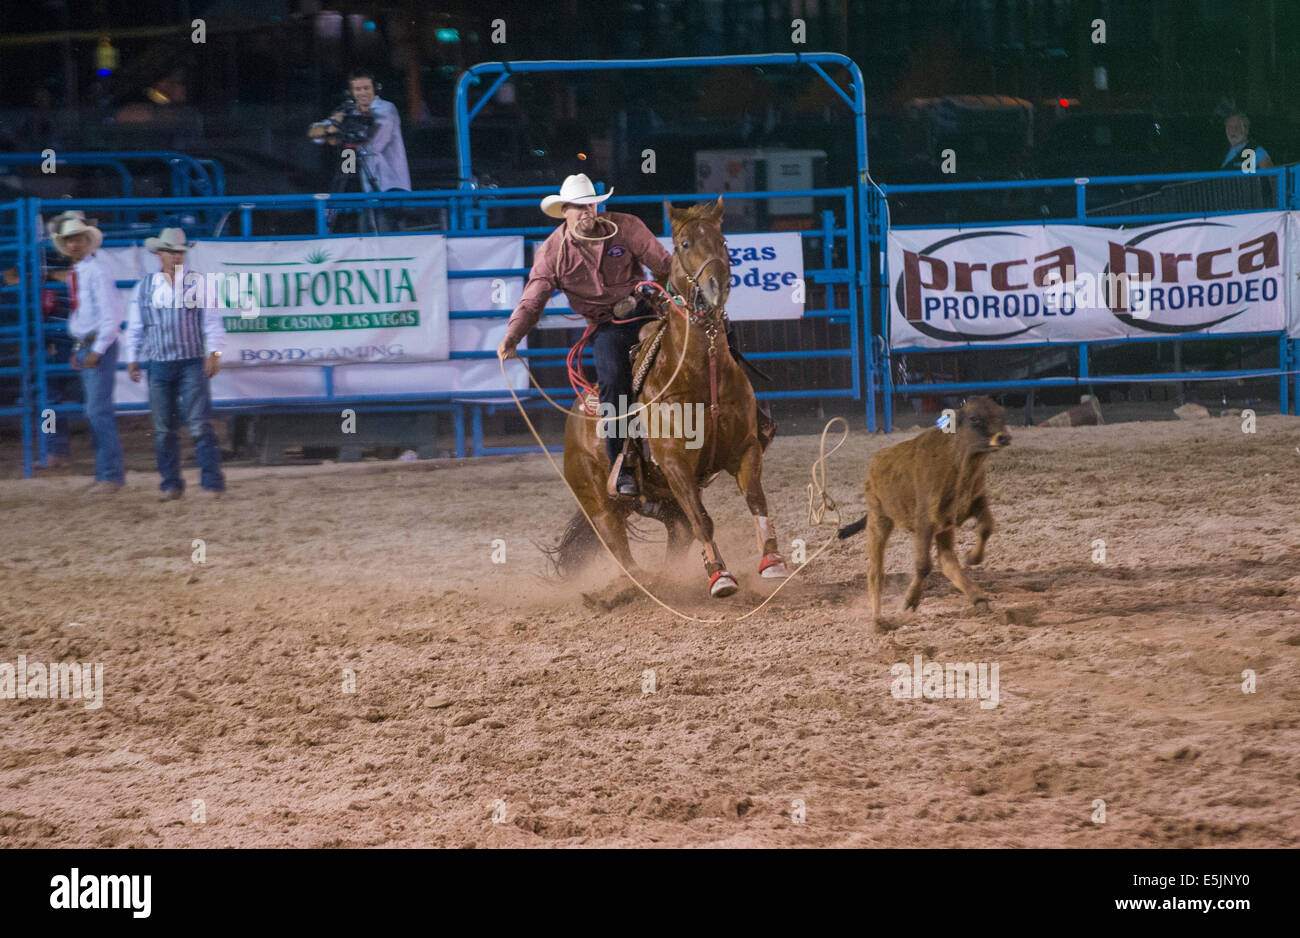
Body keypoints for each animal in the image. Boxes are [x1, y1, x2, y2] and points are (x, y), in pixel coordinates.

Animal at [838, 396, 1011, 629]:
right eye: (974, 418)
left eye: (1002, 415)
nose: (1003, 437)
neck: (959, 463)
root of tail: (877, 460)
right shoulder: (925, 522)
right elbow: (922, 565)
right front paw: (910, 600)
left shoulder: (974, 504)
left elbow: (986, 528)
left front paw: (973, 558)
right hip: (879, 519)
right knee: (875, 571)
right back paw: (877, 619)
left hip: (943, 527)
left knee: (947, 561)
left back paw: (978, 598)